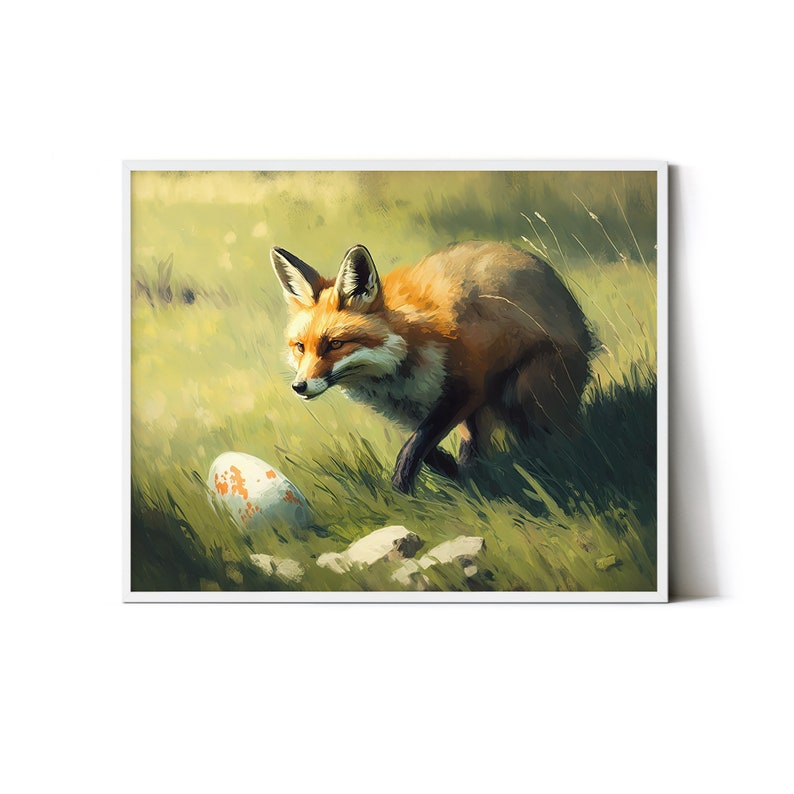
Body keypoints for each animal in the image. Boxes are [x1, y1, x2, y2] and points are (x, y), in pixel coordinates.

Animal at [270, 240, 593, 494]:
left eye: (335, 344)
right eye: (301, 347)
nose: (299, 386)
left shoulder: (469, 387)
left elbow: (413, 449)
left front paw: (402, 494)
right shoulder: (407, 411)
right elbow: (426, 449)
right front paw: (459, 477)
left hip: (529, 394)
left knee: (562, 437)